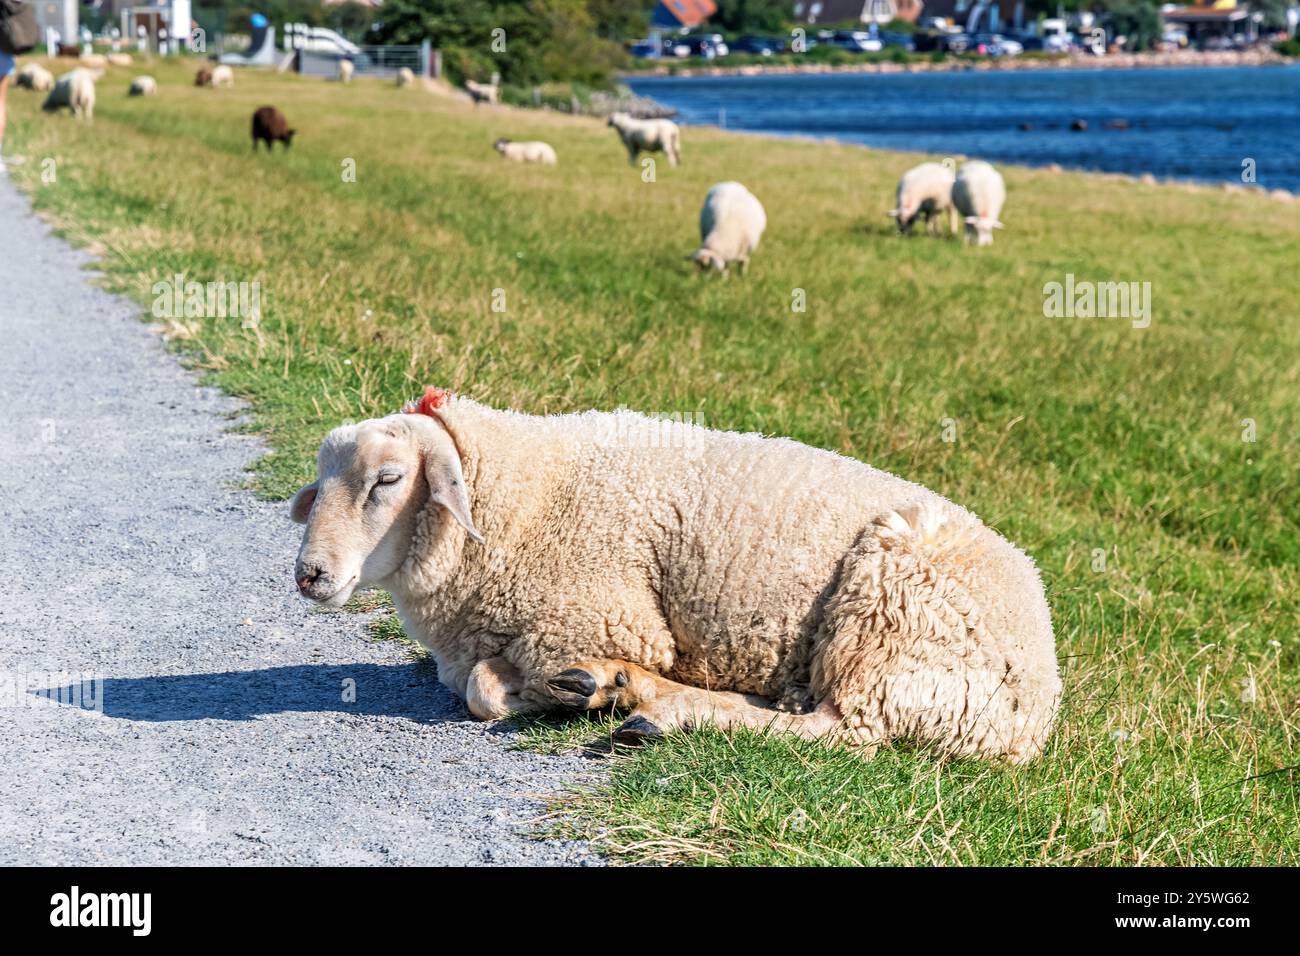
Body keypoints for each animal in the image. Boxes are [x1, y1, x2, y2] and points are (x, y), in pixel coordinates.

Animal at [290, 388, 1061, 763]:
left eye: (388, 481)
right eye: (321, 484)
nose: (310, 574)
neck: (524, 495)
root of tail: (1038, 705)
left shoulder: (611, 616)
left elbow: (490, 684)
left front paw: (558, 689)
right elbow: (478, 686)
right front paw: (568, 690)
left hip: (887, 619)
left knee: (840, 731)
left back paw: (657, 714)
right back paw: (630, 693)